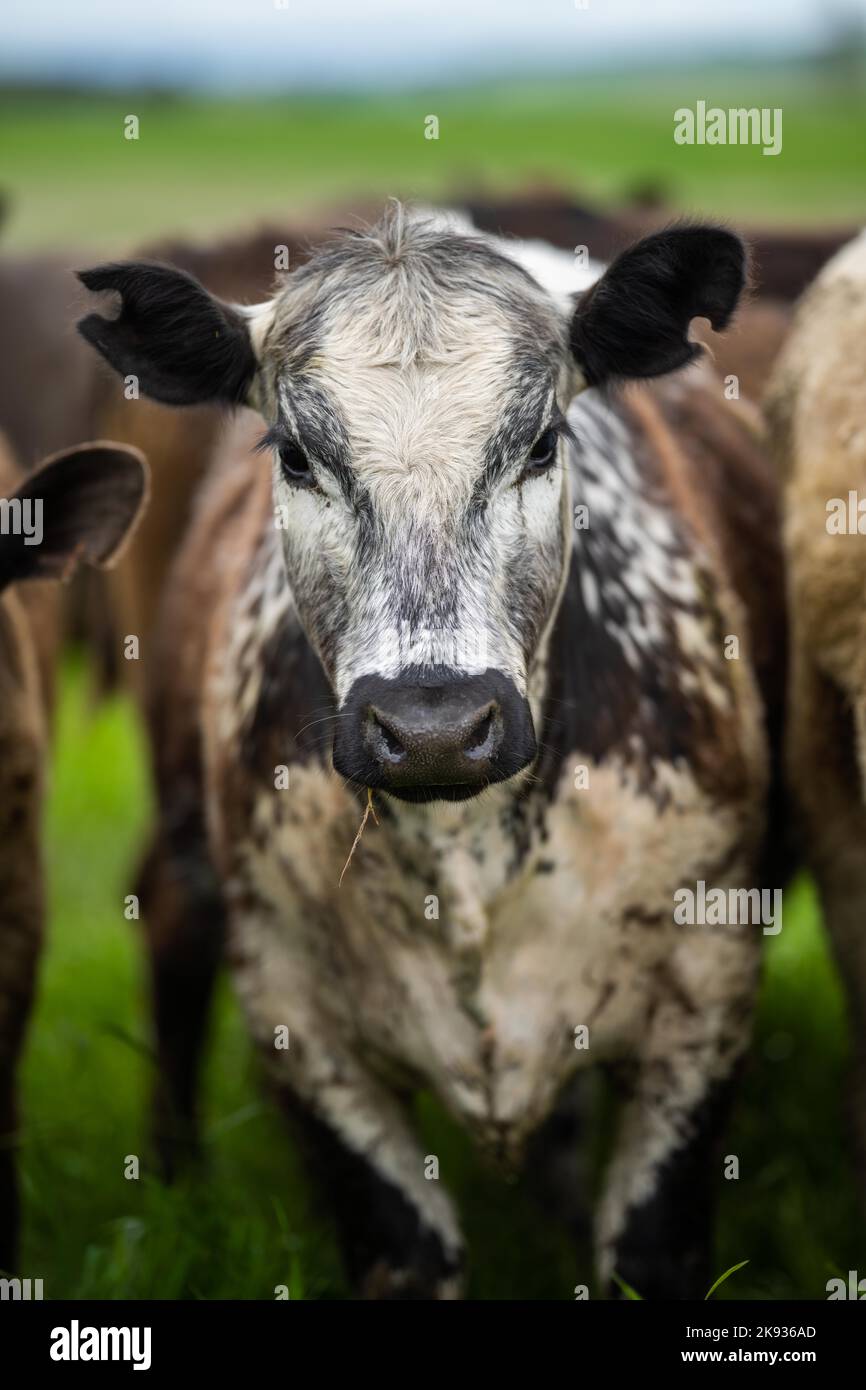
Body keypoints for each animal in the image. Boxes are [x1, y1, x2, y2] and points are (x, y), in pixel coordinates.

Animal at [77, 204, 785, 1299]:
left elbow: (649, 1247)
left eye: (540, 442)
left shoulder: (704, 998)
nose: (433, 727)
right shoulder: (300, 1021)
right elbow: (402, 1245)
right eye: (294, 455)